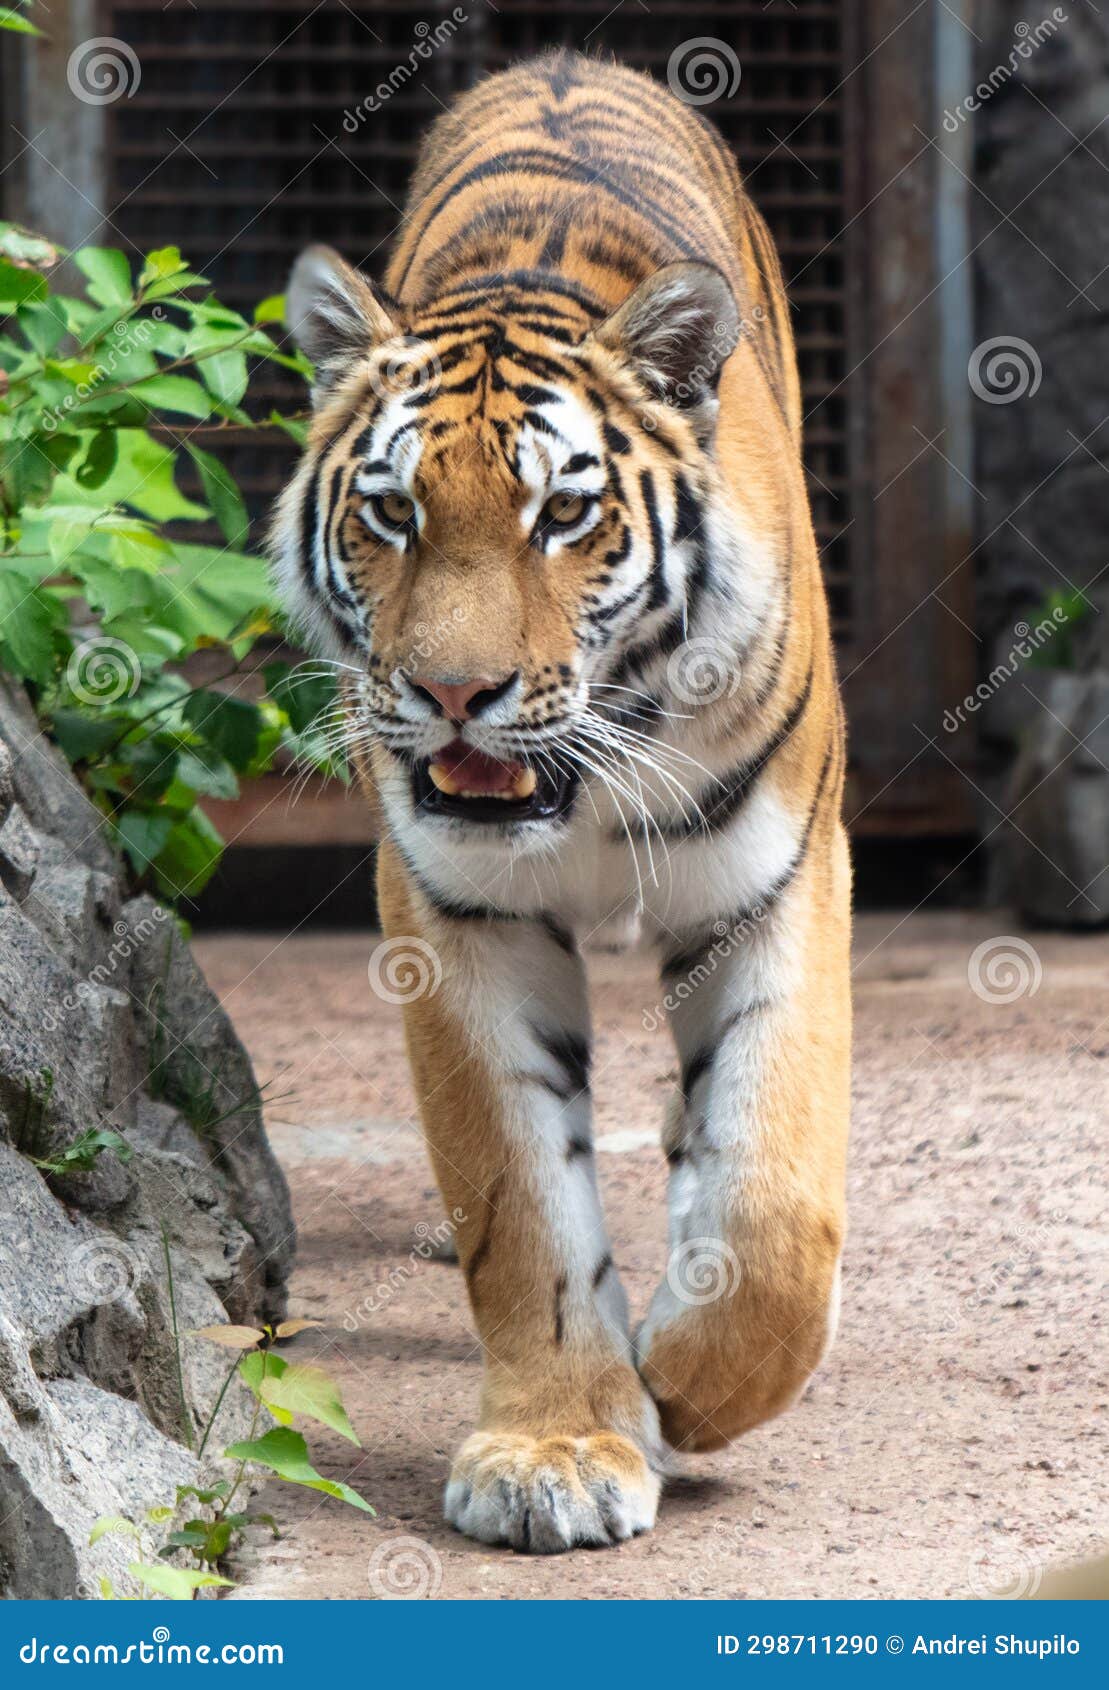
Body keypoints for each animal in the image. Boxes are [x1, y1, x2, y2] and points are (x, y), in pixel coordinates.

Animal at [272, 48, 851, 1555]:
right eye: (393, 513)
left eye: (561, 516)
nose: (451, 690)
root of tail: (564, 62)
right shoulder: (454, 914)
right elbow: (518, 1199)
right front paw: (557, 1447)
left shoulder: (778, 877)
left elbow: (774, 1193)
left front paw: (693, 1384)